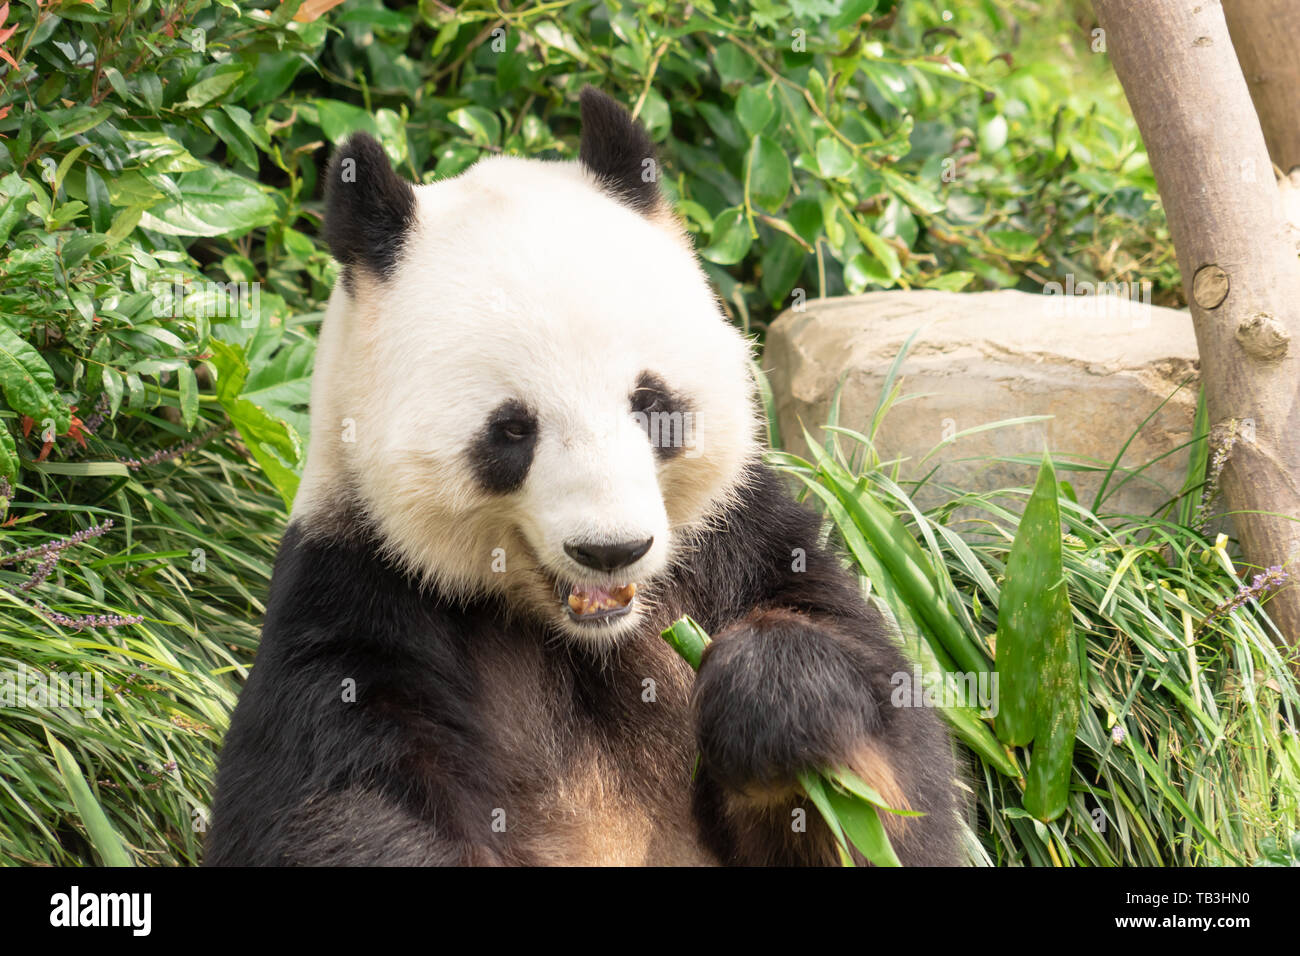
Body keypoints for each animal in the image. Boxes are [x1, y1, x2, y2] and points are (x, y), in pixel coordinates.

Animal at [205, 88, 961, 866]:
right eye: (513, 429)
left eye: (651, 404)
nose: (611, 550)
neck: (576, 635)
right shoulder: (357, 606)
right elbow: (342, 811)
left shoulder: (742, 548)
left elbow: (901, 788)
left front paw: (772, 695)